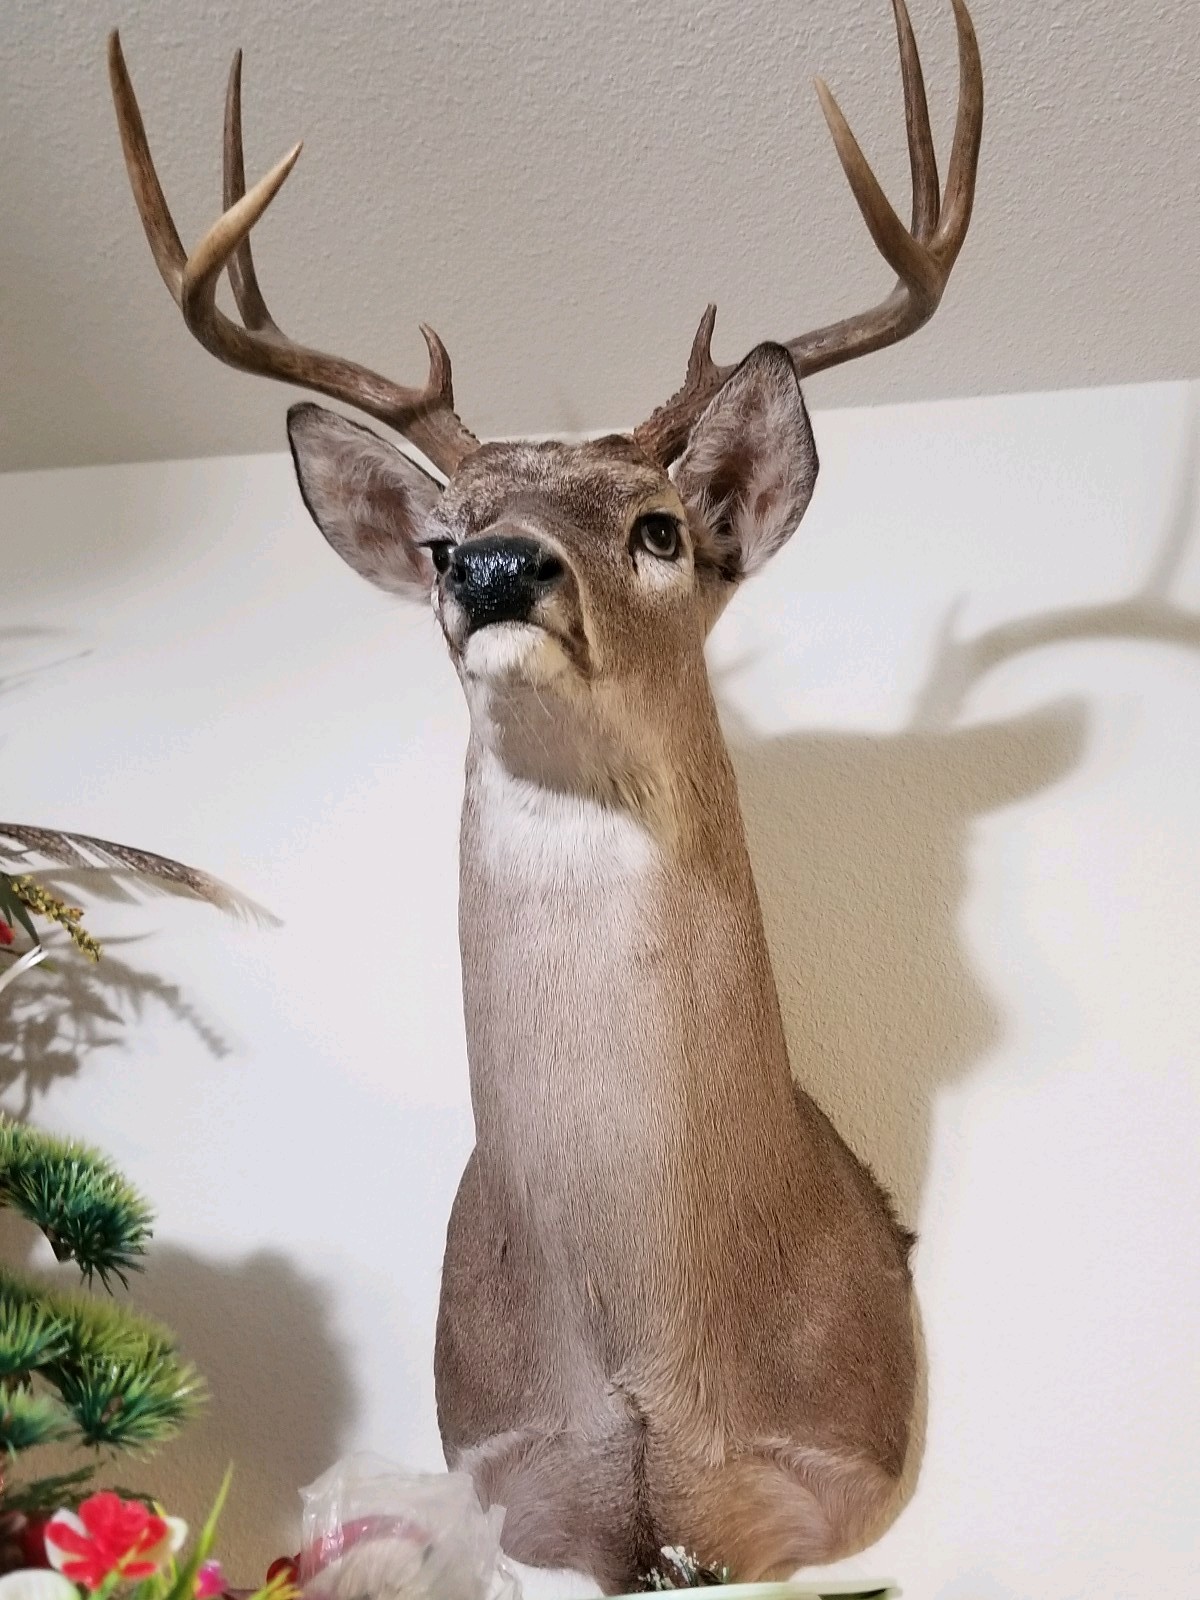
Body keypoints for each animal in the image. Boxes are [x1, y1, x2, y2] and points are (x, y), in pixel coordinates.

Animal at [107, 0, 982, 1588]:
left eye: (661, 528)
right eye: (441, 537)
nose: (498, 566)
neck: (647, 1342)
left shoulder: (801, 1493)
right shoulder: (532, 1499)